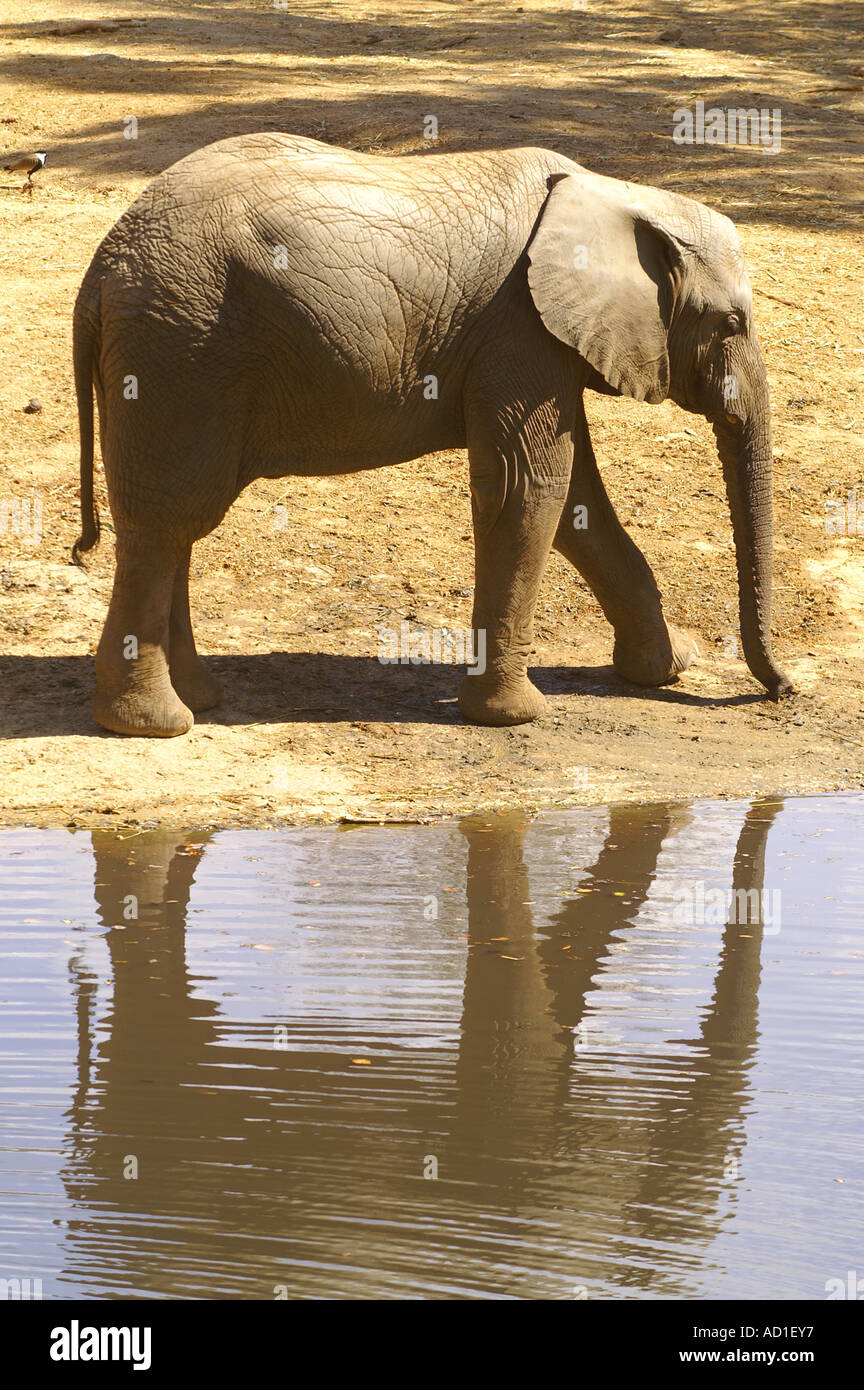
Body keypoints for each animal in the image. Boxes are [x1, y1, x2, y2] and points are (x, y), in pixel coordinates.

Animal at [71, 132, 792, 737]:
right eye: (731, 323)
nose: (782, 691)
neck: (614, 194)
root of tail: (101, 268)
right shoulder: (520, 329)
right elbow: (530, 491)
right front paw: (515, 717)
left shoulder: (542, 342)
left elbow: (574, 501)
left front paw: (664, 671)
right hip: (182, 350)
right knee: (166, 523)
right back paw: (155, 725)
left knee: (177, 526)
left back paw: (198, 699)